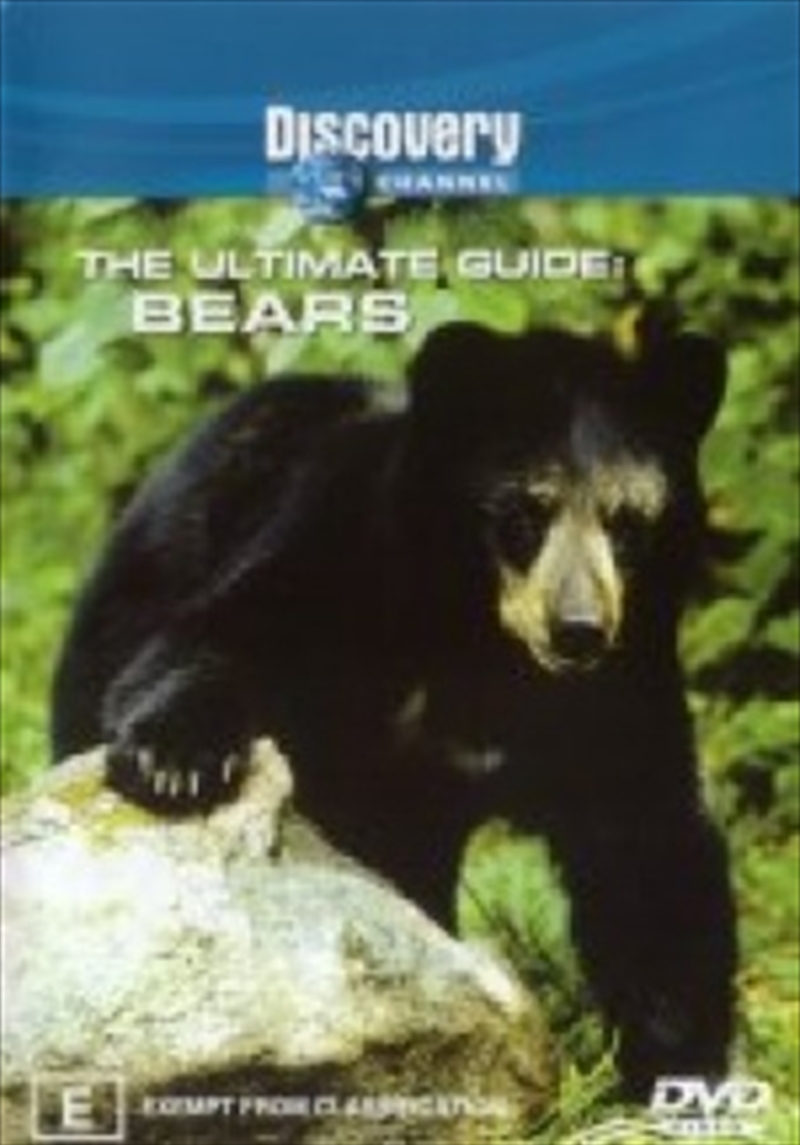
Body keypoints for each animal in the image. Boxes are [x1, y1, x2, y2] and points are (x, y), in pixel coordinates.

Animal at [51, 320, 737, 1099]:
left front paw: (687, 1071)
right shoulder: (340, 556)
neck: (483, 643)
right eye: (523, 511)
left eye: (629, 523)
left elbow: (649, 847)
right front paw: (176, 762)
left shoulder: (621, 684)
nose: (579, 629)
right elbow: (226, 634)